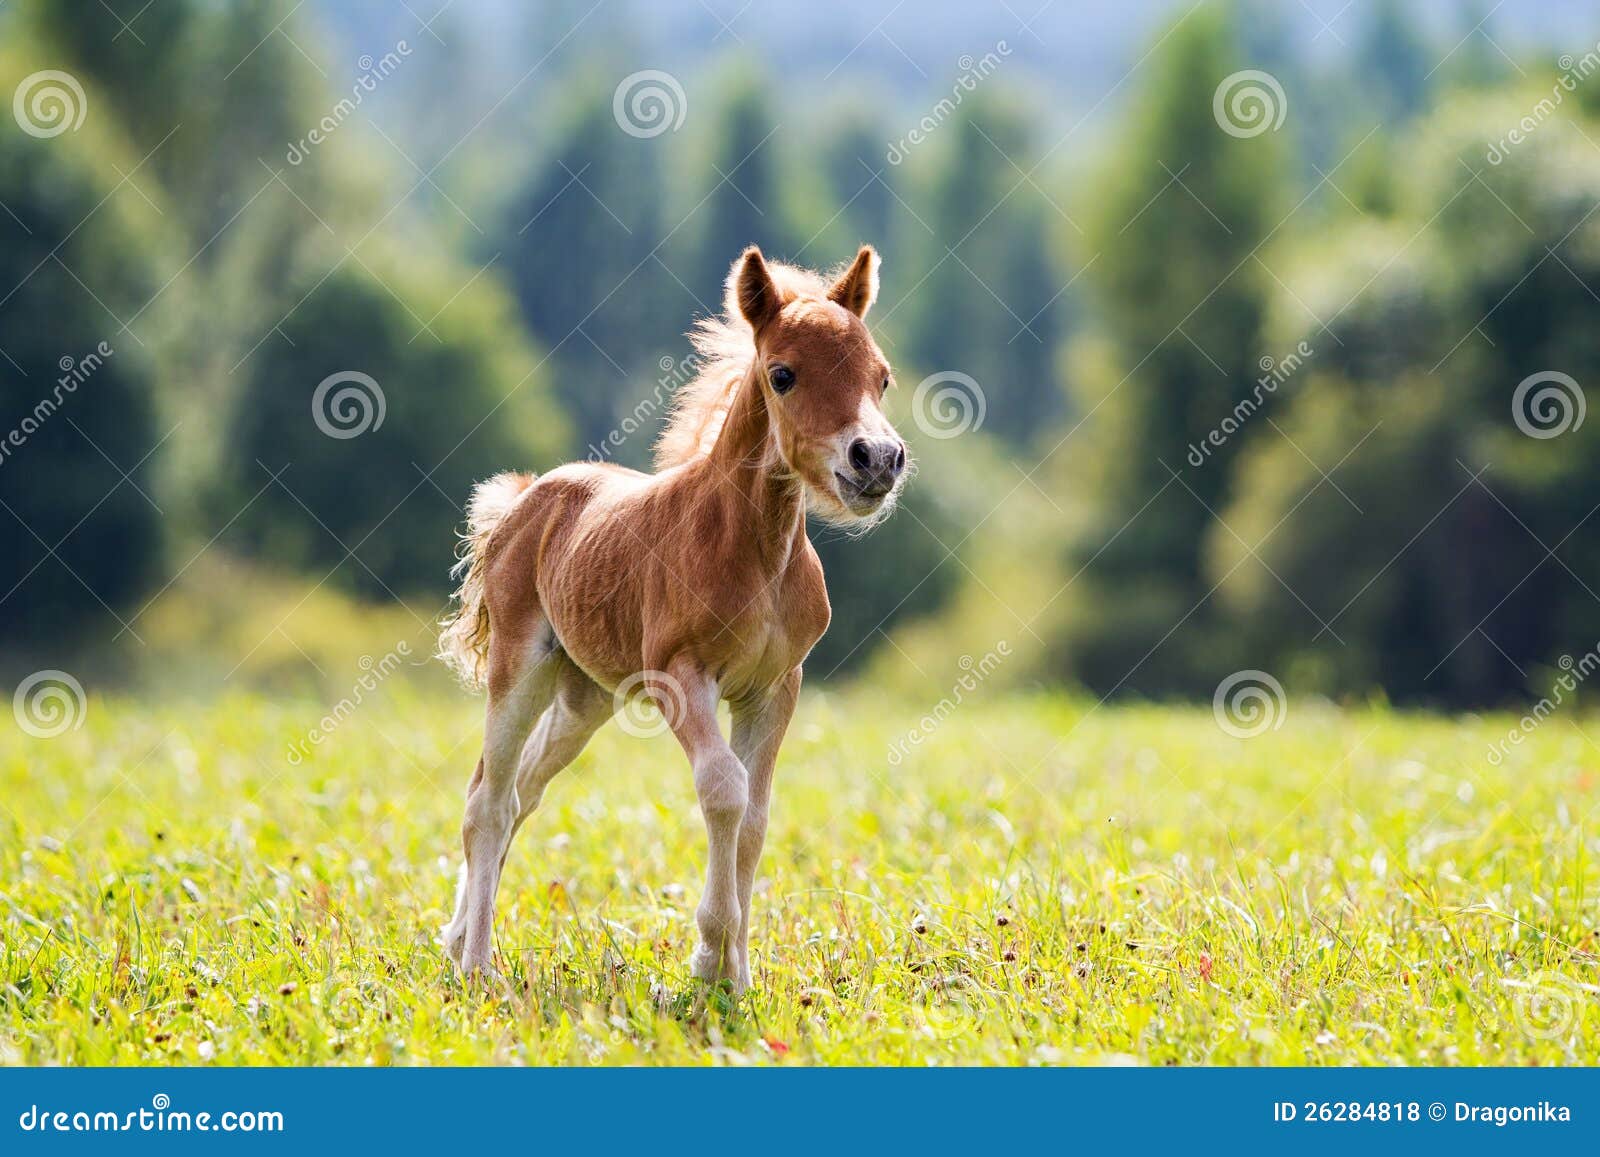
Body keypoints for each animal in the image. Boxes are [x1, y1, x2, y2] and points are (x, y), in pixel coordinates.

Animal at [437, 244, 908, 992]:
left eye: (881, 376)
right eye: (783, 374)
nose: (878, 460)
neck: (756, 548)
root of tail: (526, 497)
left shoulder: (776, 687)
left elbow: (757, 817)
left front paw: (735, 975)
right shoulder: (680, 675)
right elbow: (724, 790)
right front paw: (711, 956)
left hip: (586, 696)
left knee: (522, 790)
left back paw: (457, 941)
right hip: (522, 665)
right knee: (489, 800)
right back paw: (479, 966)